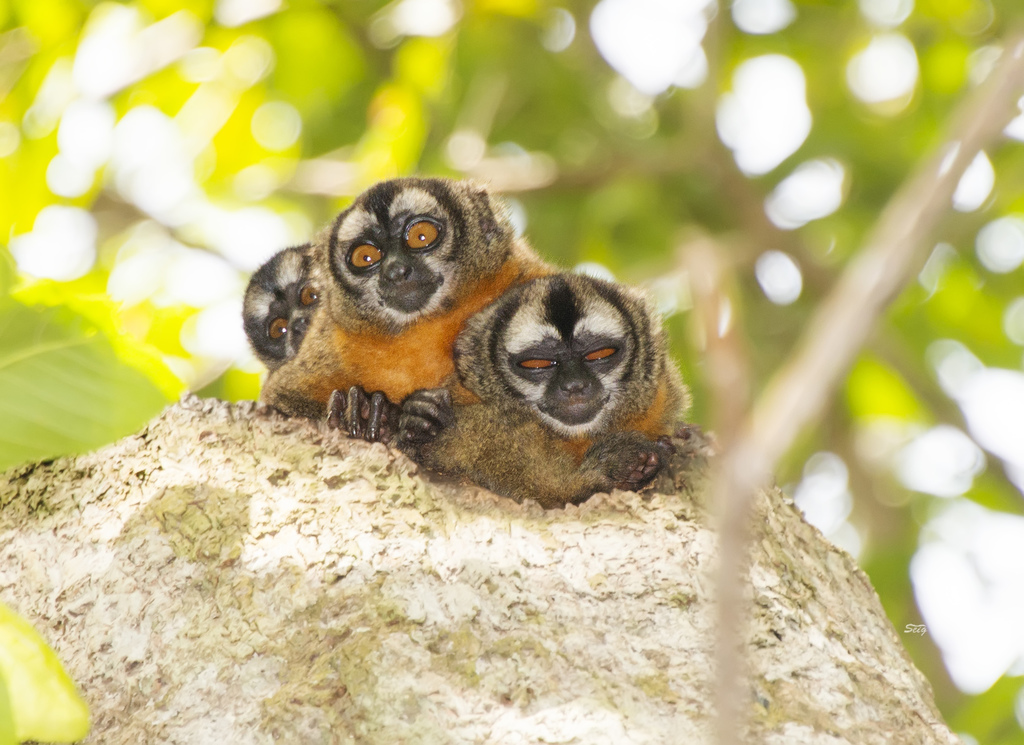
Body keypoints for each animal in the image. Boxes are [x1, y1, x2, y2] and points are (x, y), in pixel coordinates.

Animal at [258, 177, 553, 436]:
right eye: (366, 257)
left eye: (421, 236)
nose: (396, 271)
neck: (427, 323)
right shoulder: (330, 340)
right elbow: (280, 399)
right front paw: (360, 410)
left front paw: (403, 417)